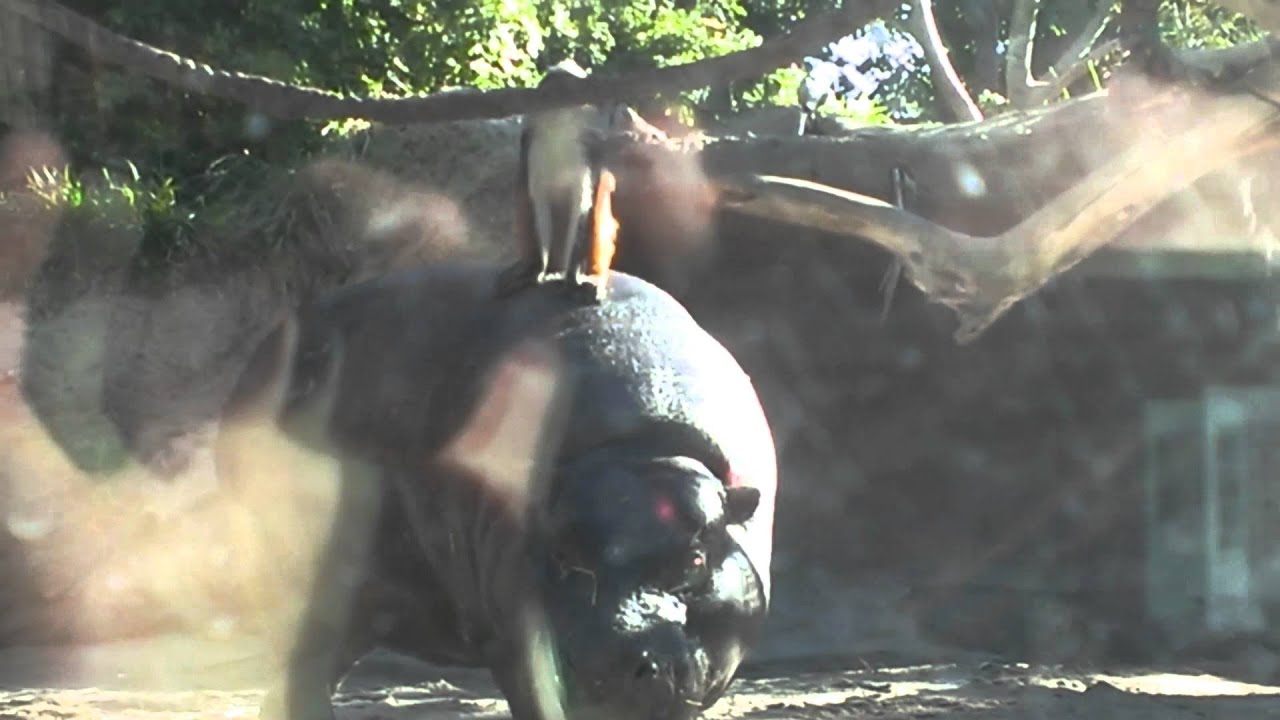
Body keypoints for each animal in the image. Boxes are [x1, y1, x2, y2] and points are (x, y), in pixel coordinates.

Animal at [496, 60, 619, 303]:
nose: (559, 75)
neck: (559, 129)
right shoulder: (532, 145)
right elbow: (536, 199)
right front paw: (536, 270)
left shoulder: (587, 150)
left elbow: (585, 206)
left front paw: (573, 279)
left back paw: (590, 275)